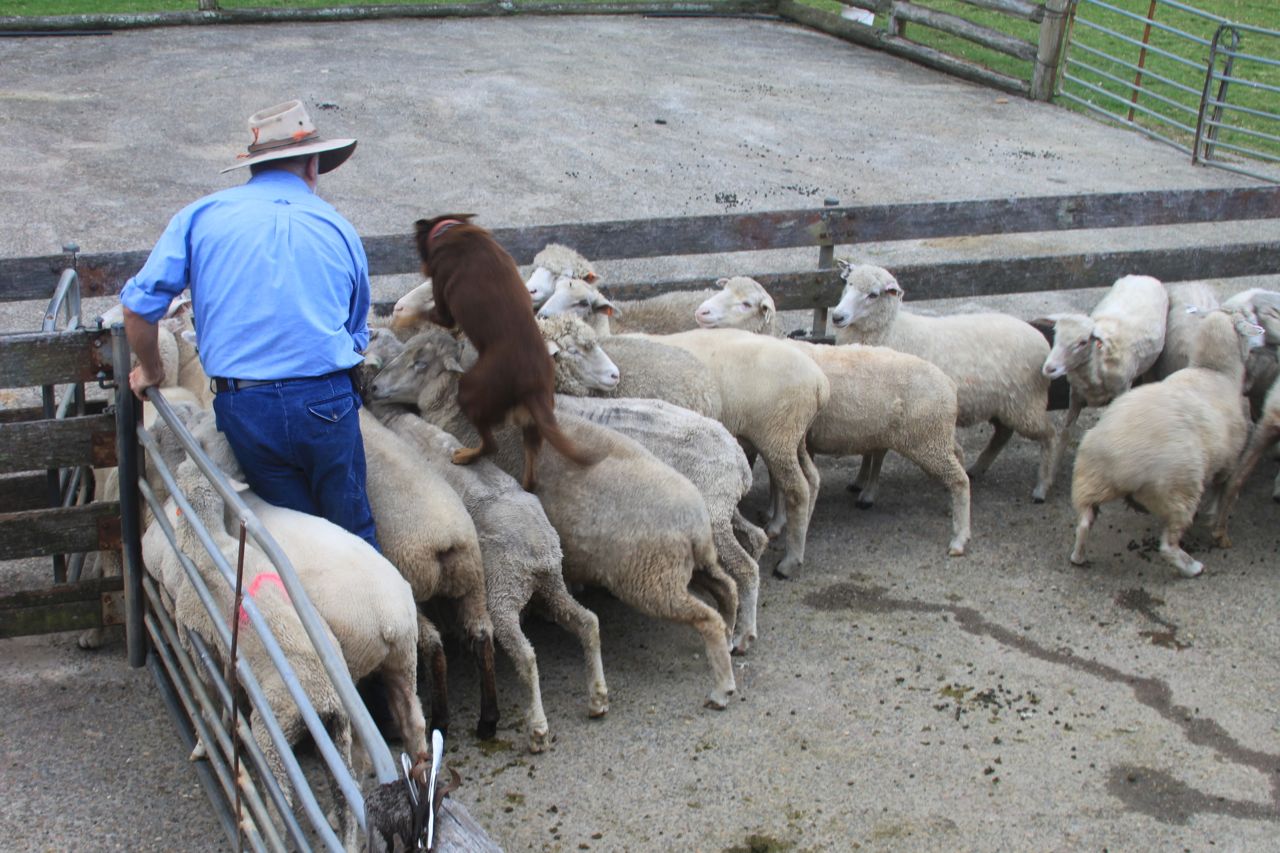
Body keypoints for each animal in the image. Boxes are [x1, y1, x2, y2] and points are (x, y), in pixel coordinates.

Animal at [368, 329, 741, 709]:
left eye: (419, 361)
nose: (375, 387)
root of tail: (696, 522)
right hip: (687, 565)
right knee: (729, 586)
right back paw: (733, 637)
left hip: (651, 580)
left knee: (707, 617)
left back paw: (722, 686)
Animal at [375, 408, 610, 752]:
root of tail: (536, 548)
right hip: (550, 585)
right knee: (588, 622)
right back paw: (598, 698)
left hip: (499, 594)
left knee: (524, 655)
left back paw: (535, 729)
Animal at [829, 262, 1061, 503]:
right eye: (848, 283)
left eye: (873, 295)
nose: (837, 317)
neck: (891, 331)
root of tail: (1041, 338)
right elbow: (868, 448)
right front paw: (859, 480)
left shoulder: (889, 408)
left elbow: (877, 452)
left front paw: (868, 491)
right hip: (1005, 404)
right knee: (1003, 434)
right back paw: (977, 468)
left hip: (1026, 402)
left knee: (1050, 435)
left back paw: (1042, 486)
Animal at [1040, 273, 1169, 434]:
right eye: (1055, 333)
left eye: (1083, 342)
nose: (1049, 368)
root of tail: (1143, 276)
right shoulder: (1075, 393)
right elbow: (1067, 429)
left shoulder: (1122, 390)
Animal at [1069, 309, 1262, 578]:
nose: (1262, 335)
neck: (1213, 371)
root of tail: (1122, 464)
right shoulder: (1228, 460)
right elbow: (1222, 491)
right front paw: (1217, 521)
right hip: (1180, 491)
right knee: (1168, 546)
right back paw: (1192, 567)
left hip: (1088, 482)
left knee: (1084, 523)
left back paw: (1079, 556)